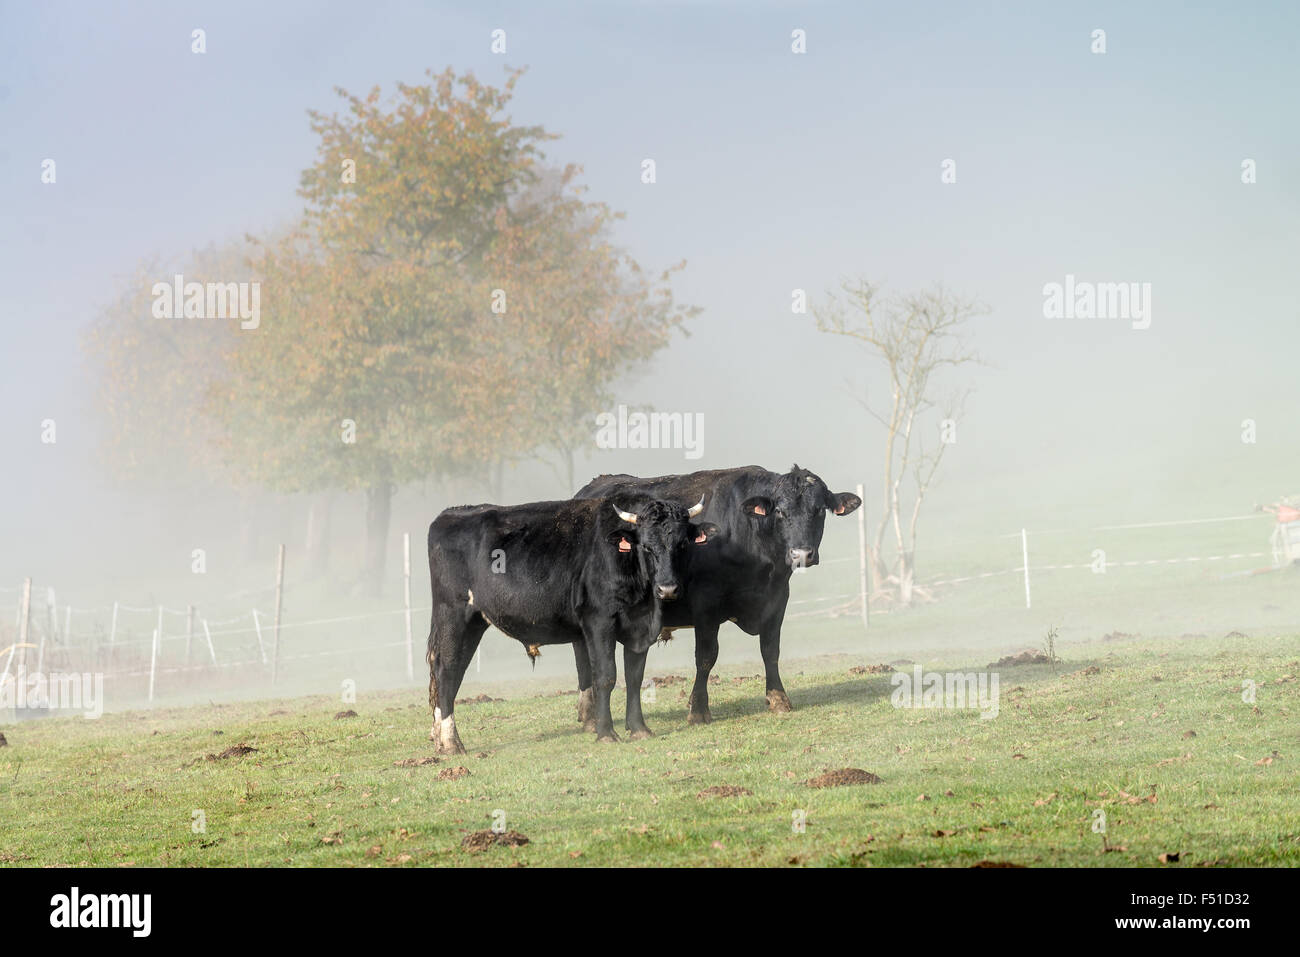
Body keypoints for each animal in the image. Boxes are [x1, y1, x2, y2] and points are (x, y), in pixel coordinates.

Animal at [425, 495, 718, 753]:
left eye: (681, 545)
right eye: (646, 546)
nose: (667, 588)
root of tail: (452, 513)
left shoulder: (640, 627)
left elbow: (634, 677)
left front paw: (639, 729)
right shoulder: (598, 621)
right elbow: (605, 676)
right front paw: (606, 733)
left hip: (474, 620)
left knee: (450, 671)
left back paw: (440, 740)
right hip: (453, 613)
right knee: (447, 670)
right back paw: (451, 743)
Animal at [573, 465, 861, 724]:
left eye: (819, 510)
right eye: (780, 511)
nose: (801, 554)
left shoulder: (777, 600)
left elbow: (770, 650)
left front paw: (778, 698)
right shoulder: (706, 607)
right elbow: (706, 657)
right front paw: (698, 710)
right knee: (583, 658)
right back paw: (588, 712)